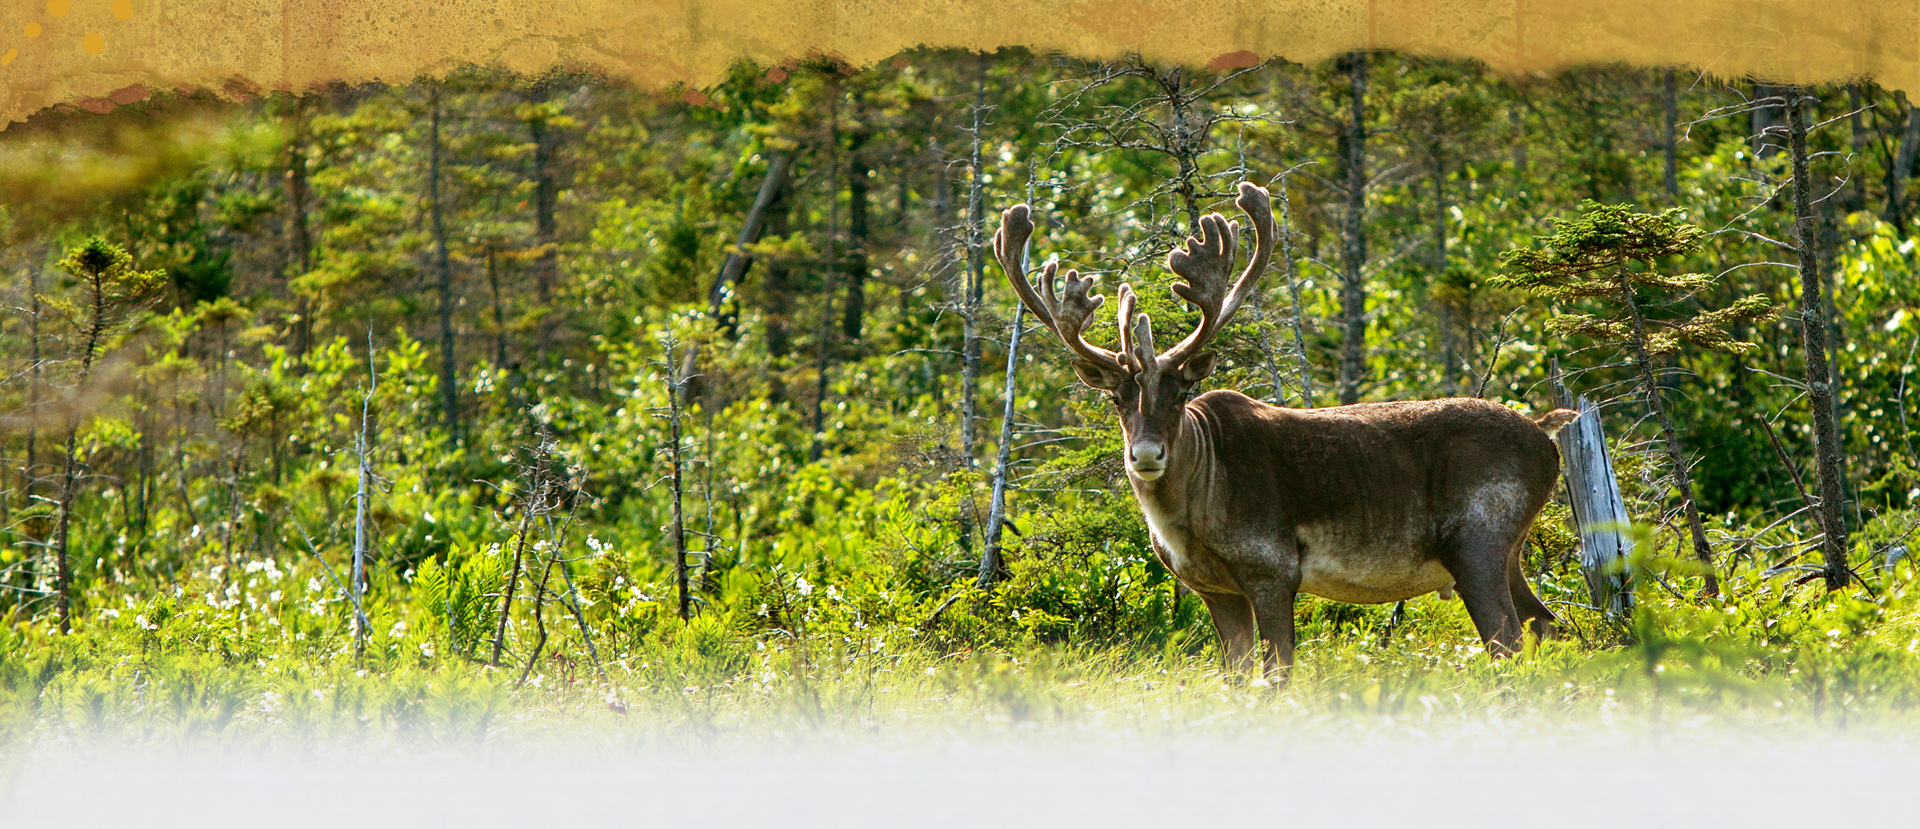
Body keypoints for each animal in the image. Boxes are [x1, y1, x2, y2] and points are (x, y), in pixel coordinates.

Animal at [994, 180, 1577, 683]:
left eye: (1181, 393)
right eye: (1116, 398)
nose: (1146, 454)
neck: (1193, 513)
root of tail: (1546, 437)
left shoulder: (1272, 568)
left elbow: (1277, 674)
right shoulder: (1213, 588)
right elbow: (1235, 674)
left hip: (1477, 539)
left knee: (1507, 639)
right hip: (1510, 549)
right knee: (1547, 626)